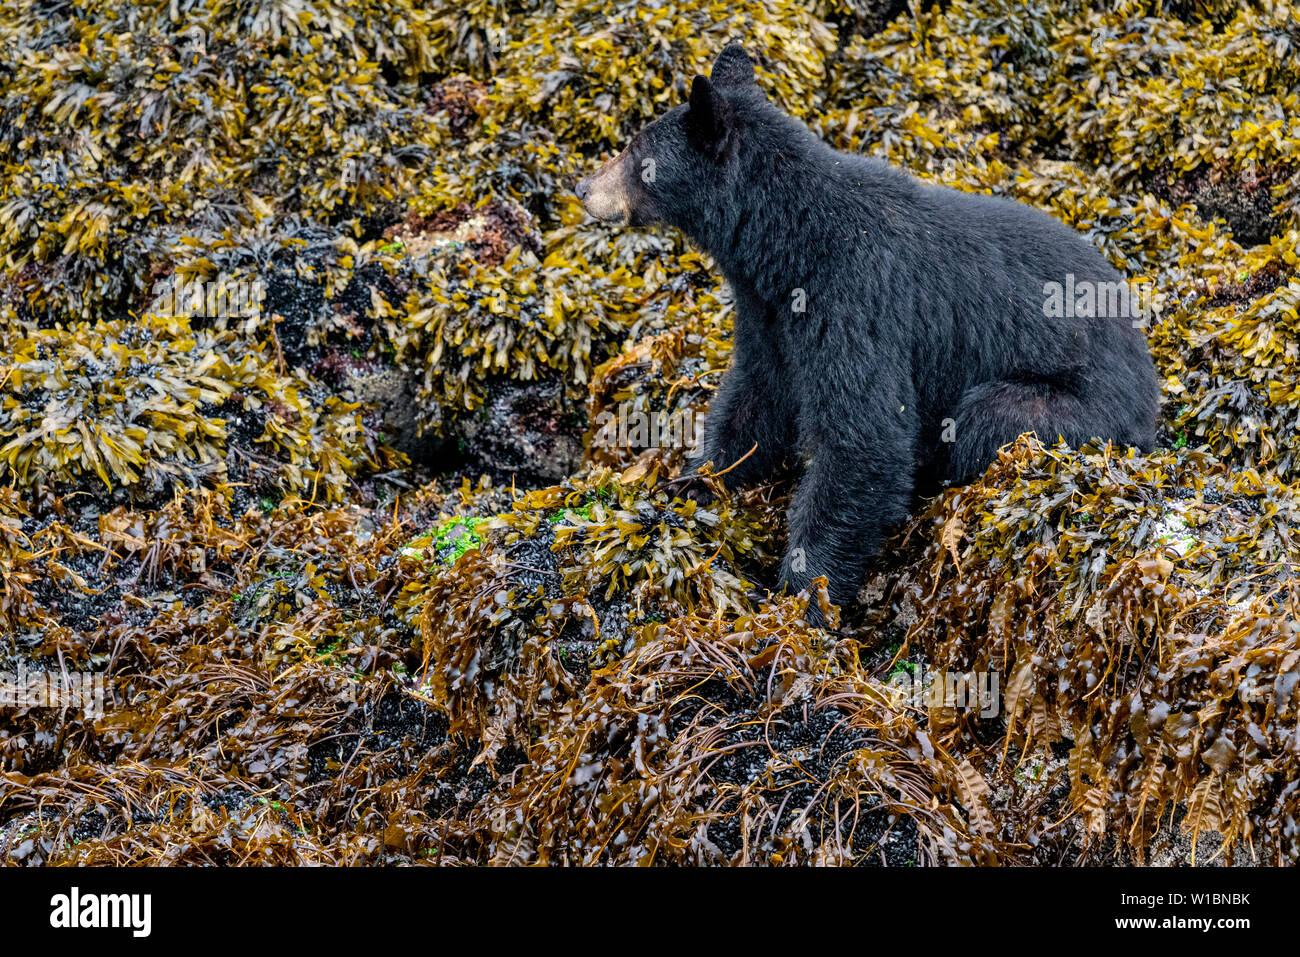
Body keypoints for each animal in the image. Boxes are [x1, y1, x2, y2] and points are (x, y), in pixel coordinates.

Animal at [576, 43, 1161, 615]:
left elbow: (864, 437)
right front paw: (691, 483)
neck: (786, 239)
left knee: (987, 420)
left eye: (637, 155)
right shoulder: (767, 310)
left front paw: (800, 602)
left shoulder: (856, 297)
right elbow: (756, 396)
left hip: (1078, 409)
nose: (582, 186)